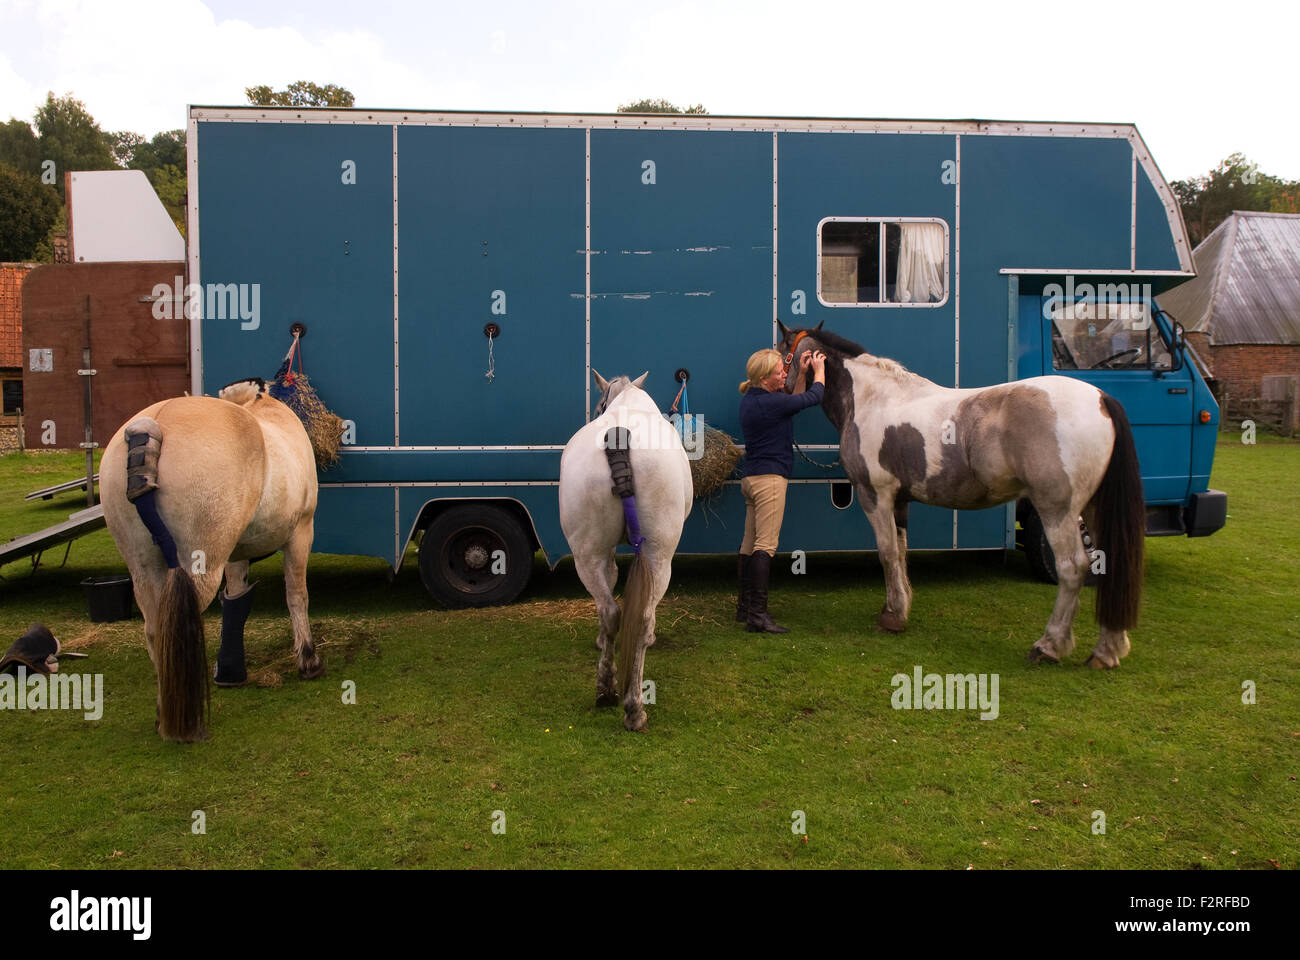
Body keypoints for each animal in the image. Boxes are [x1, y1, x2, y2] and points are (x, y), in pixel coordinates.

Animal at [99, 379, 324, 742]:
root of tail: (152, 428)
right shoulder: (301, 532)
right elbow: (296, 596)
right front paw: (308, 658)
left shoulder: (235, 554)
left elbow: (236, 600)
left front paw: (230, 670)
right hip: (198, 567)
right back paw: (185, 722)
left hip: (144, 569)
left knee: (155, 630)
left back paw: (165, 715)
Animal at [558, 371, 693, 731]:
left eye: (598, 404)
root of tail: (620, 438)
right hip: (659, 557)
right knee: (641, 616)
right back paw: (631, 704)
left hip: (589, 555)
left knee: (610, 612)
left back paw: (610, 690)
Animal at [775, 321, 1144, 668]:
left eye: (782, 353)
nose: (777, 385)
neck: (871, 398)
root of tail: (1101, 398)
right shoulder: (900, 501)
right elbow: (901, 552)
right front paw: (900, 607)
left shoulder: (875, 495)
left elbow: (887, 553)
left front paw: (892, 617)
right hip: (1095, 509)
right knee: (1106, 562)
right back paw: (1106, 651)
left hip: (1057, 510)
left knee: (1072, 568)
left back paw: (1048, 646)